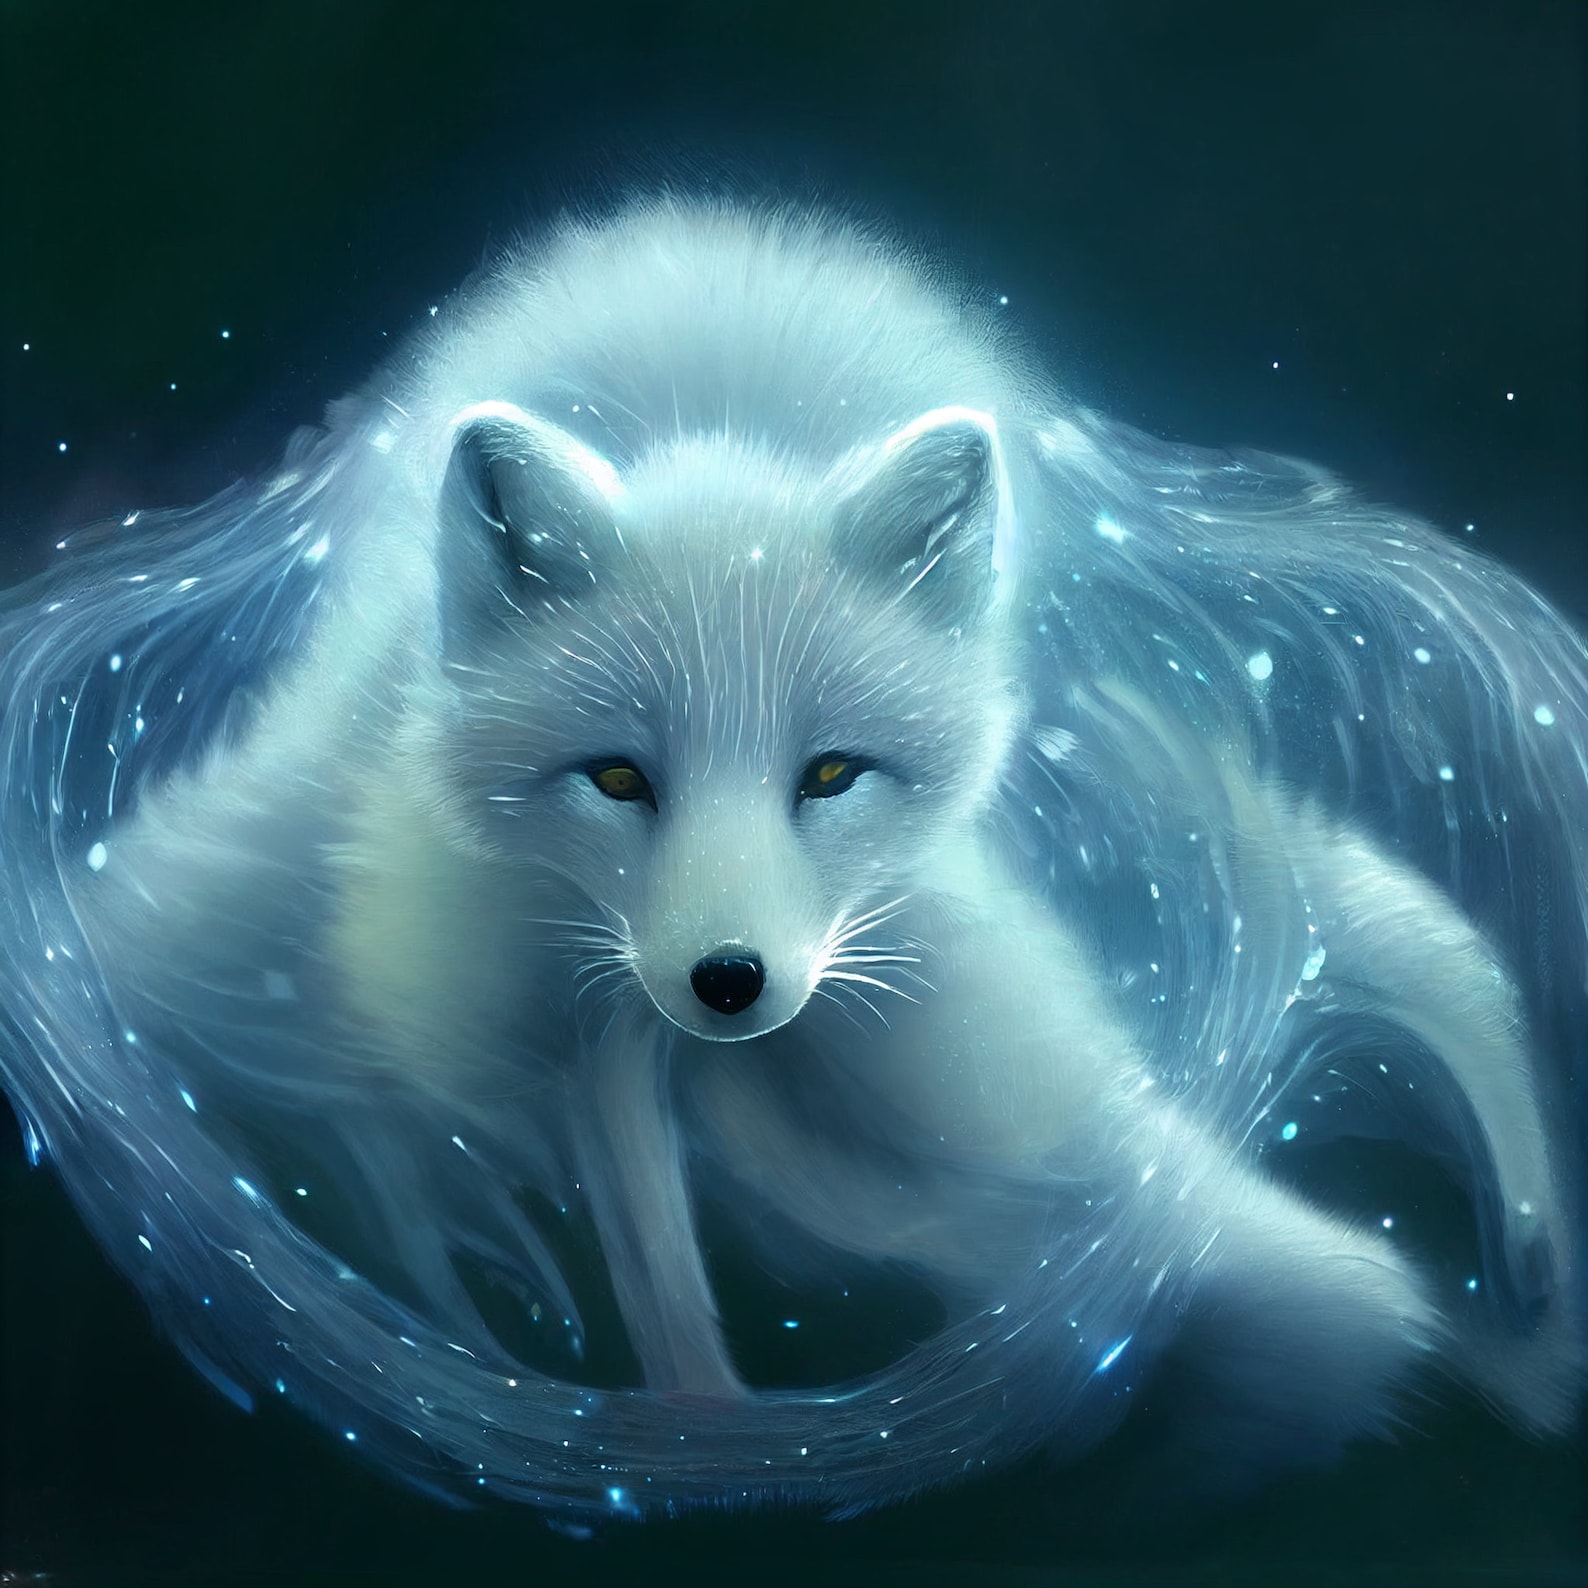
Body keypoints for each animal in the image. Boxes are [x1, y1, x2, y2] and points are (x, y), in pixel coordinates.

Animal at [0, 199, 1582, 1518]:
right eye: (617, 777)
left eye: (829, 774)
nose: (729, 978)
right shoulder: (581, 1033)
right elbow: (647, 1253)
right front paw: (700, 1434)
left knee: (1354, 943)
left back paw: (1494, 1259)